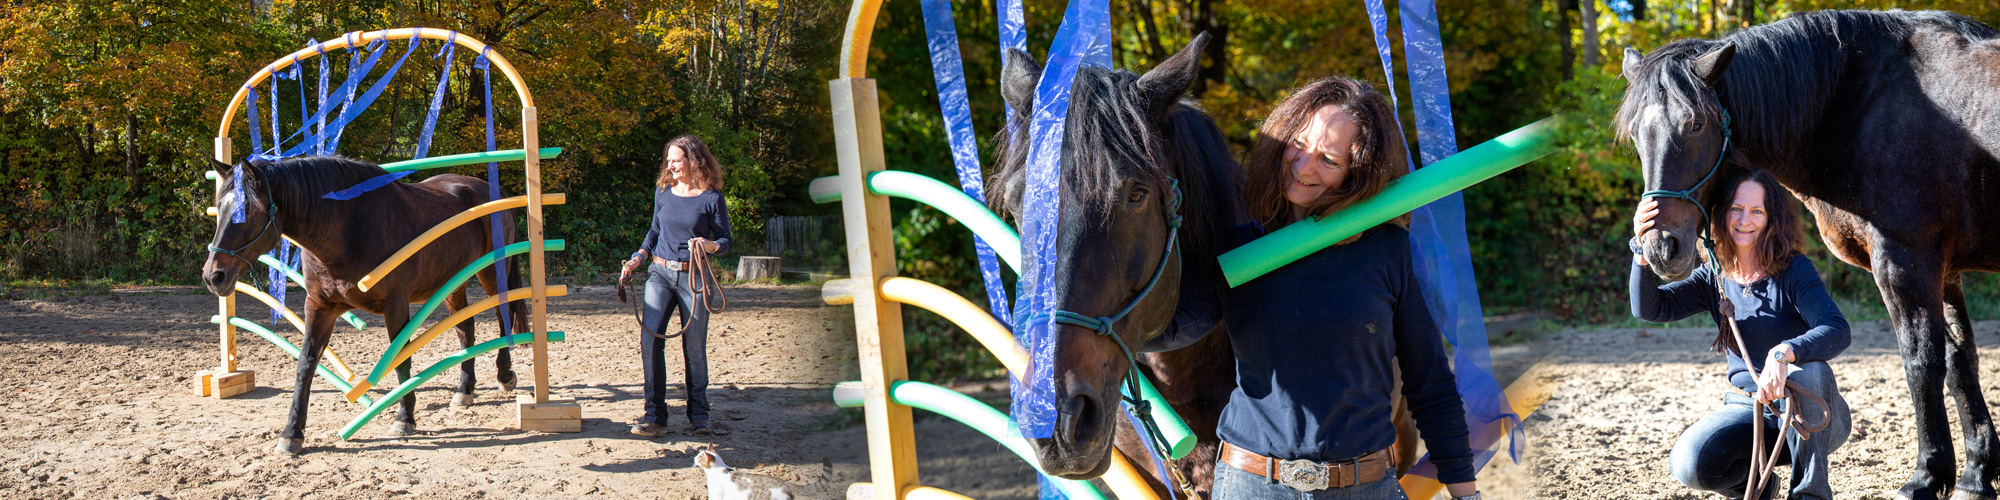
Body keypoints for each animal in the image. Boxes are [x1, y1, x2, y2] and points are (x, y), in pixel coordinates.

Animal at [200, 155, 526, 455]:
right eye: (219, 208)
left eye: (246, 212)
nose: (213, 276)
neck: (347, 229)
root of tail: (487, 188)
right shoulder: (318, 308)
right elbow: (306, 365)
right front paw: (291, 434)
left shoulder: (395, 306)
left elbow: (401, 360)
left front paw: (404, 418)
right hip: (453, 284)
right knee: (465, 329)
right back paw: (463, 391)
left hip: (491, 273)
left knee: (502, 318)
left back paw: (504, 375)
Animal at [1617, 10, 2000, 499]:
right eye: (1634, 134)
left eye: (1695, 124)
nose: (1662, 248)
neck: (1860, 103)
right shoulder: (1943, 271)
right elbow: (1959, 363)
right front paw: (1975, 475)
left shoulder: (1905, 262)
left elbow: (1921, 363)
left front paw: (1925, 477)